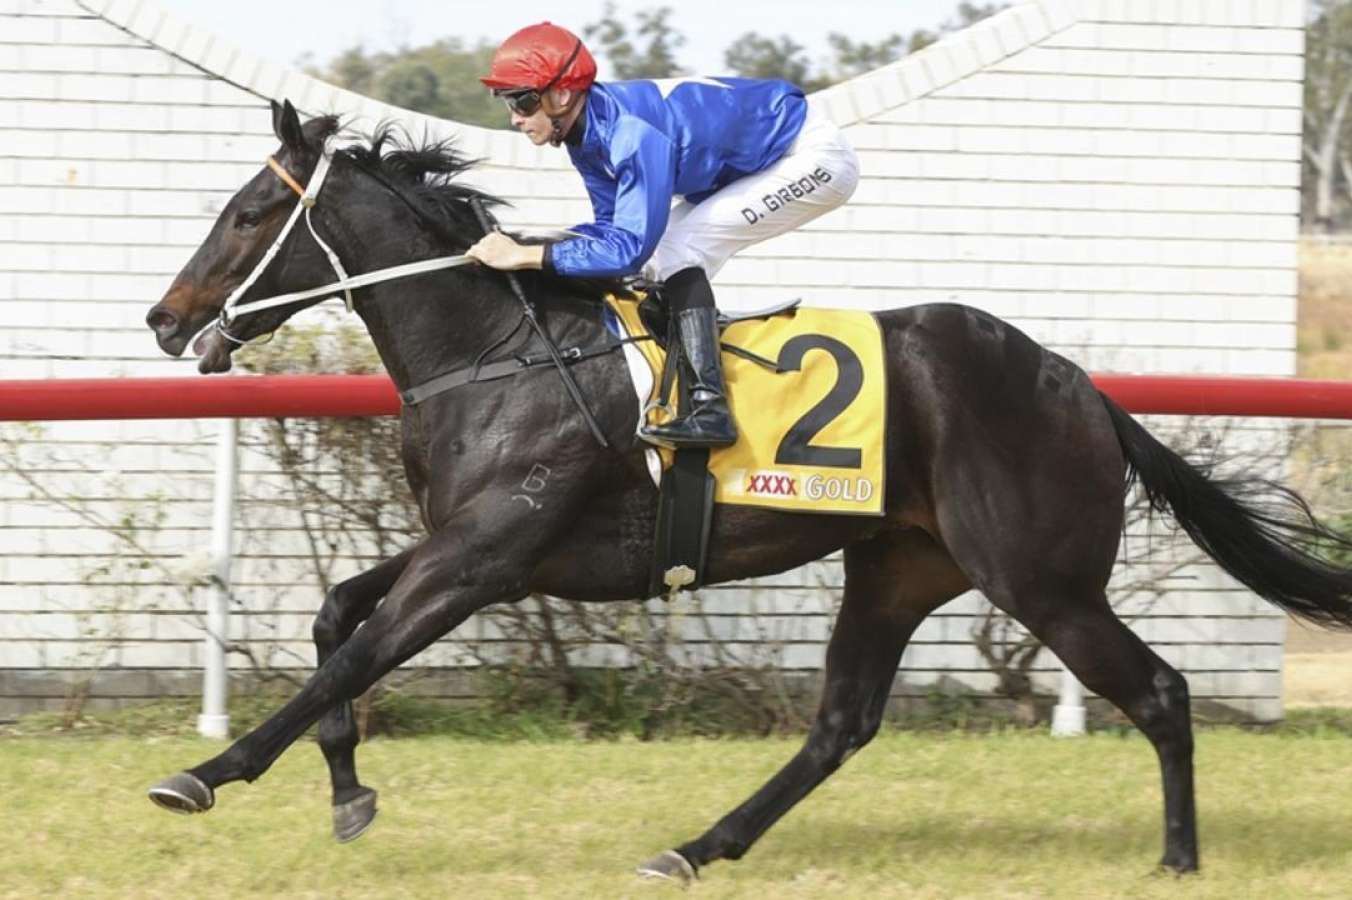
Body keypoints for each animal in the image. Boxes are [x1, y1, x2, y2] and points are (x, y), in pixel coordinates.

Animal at [142, 100, 1352, 882]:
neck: (495, 350)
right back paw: (695, 846)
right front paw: (346, 789)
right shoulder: (471, 540)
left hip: (1041, 580)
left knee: (1159, 693)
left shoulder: (484, 558)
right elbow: (334, 616)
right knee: (842, 724)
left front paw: (206, 774)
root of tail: (1079, 388)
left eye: (248, 213)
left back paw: (1178, 860)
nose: (164, 318)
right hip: (901, 565)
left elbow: (350, 652)